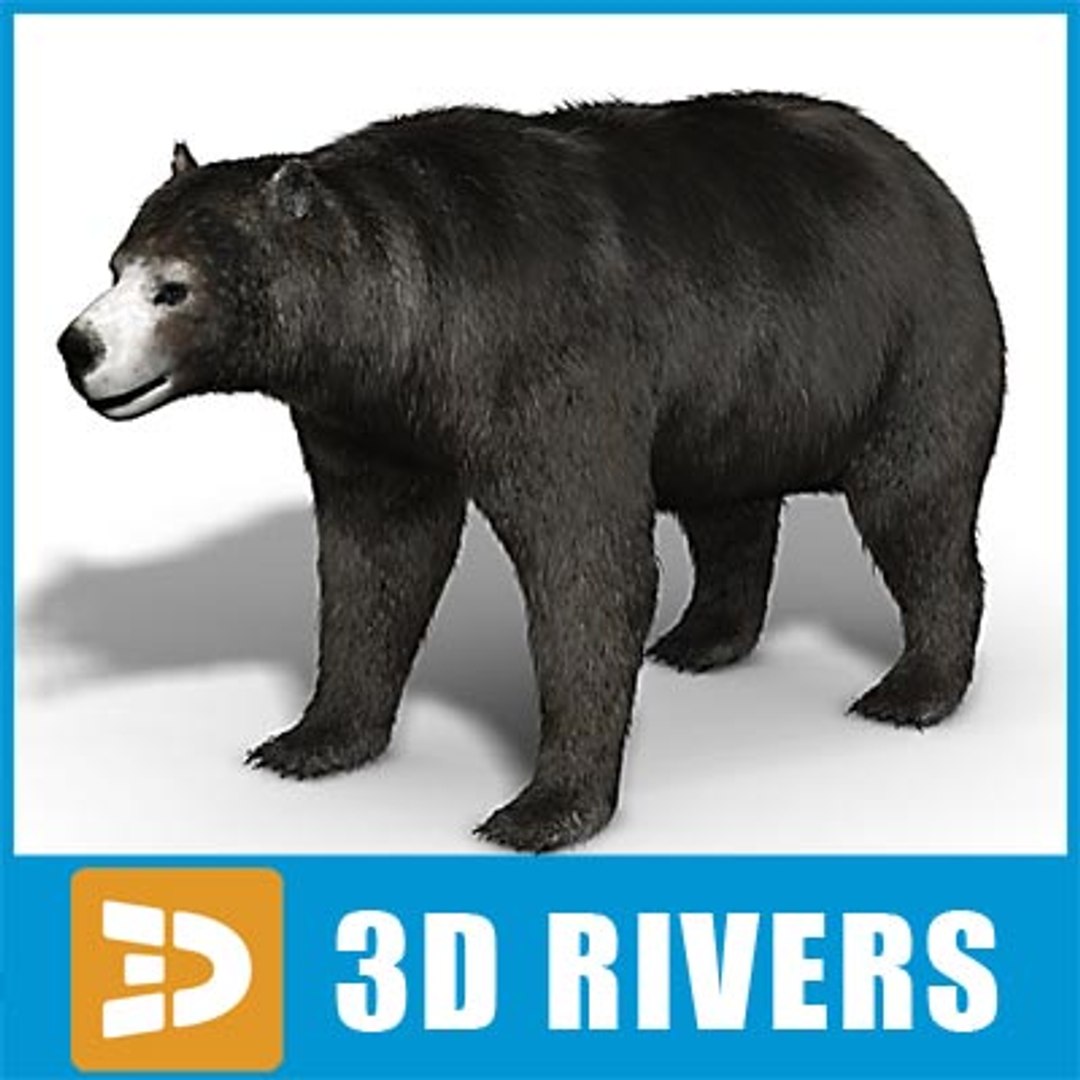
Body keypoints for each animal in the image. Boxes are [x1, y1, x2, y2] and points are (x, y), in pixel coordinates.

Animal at [57, 93, 1004, 852]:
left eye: (172, 288)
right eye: (116, 266)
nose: (77, 346)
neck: (410, 322)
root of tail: (929, 180)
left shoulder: (545, 363)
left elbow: (585, 561)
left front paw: (539, 809)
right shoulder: (367, 416)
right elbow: (375, 556)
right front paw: (309, 740)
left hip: (912, 345)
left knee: (914, 504)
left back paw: (912, 689)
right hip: (745, 394)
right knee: (730, 510)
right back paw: (703, 638)